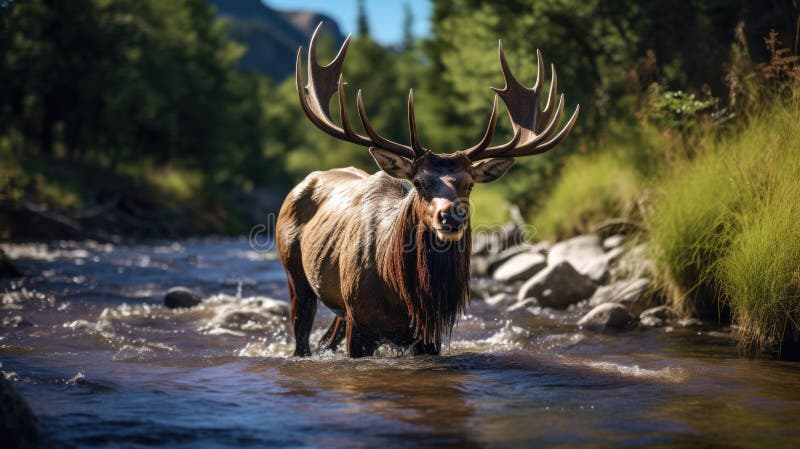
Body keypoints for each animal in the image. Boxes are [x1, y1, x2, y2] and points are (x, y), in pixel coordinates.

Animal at [276, 23, 579, 358]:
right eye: (418, 182)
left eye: (469, 183)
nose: (451, 217)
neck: (402, 297)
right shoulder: (360, 324)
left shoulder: (428, 334)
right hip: (295, 275)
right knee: (302, 333)